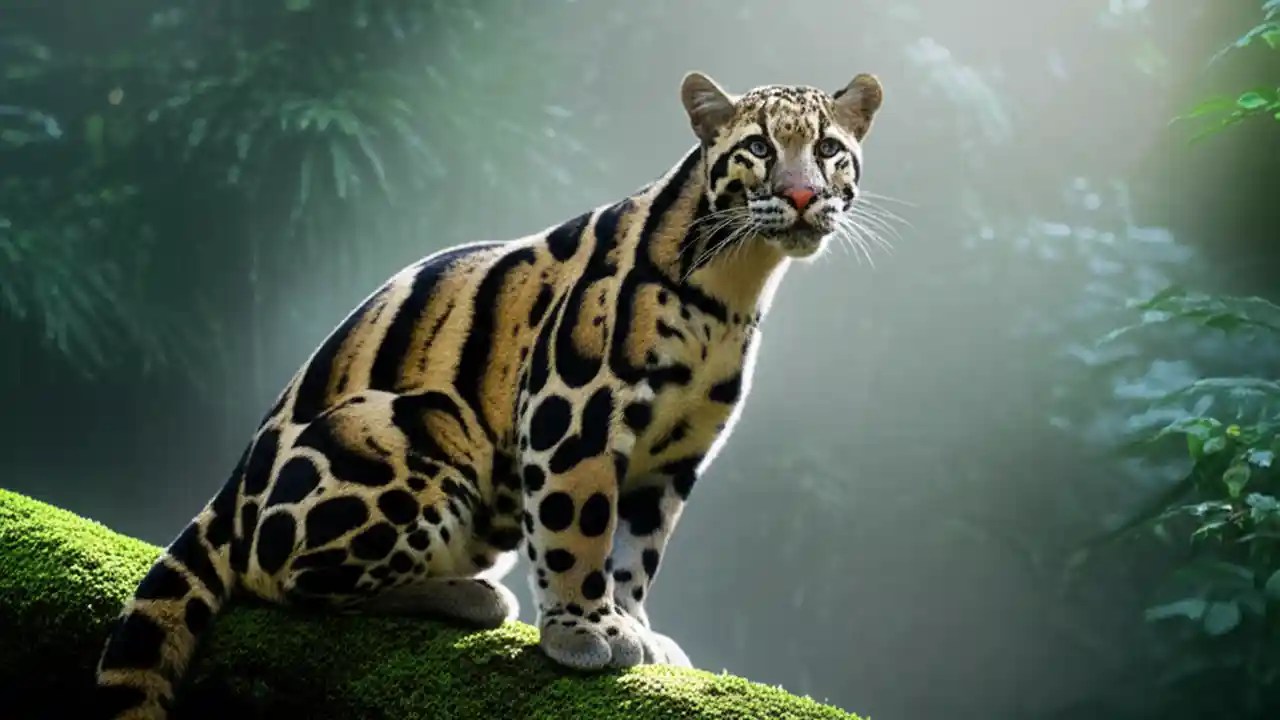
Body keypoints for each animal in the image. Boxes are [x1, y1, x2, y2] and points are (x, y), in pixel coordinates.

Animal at [93, 69, 884, 719]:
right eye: (756, 148)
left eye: (830, 150)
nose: (803, 195)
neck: (734, 284)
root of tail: (228, 493)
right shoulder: (575, 411)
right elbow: (578, 531)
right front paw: (584, 632)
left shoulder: (673, 458)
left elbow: (635, 553)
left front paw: (632, 624)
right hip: (416, 427)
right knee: (292, 582)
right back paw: (466, 595)